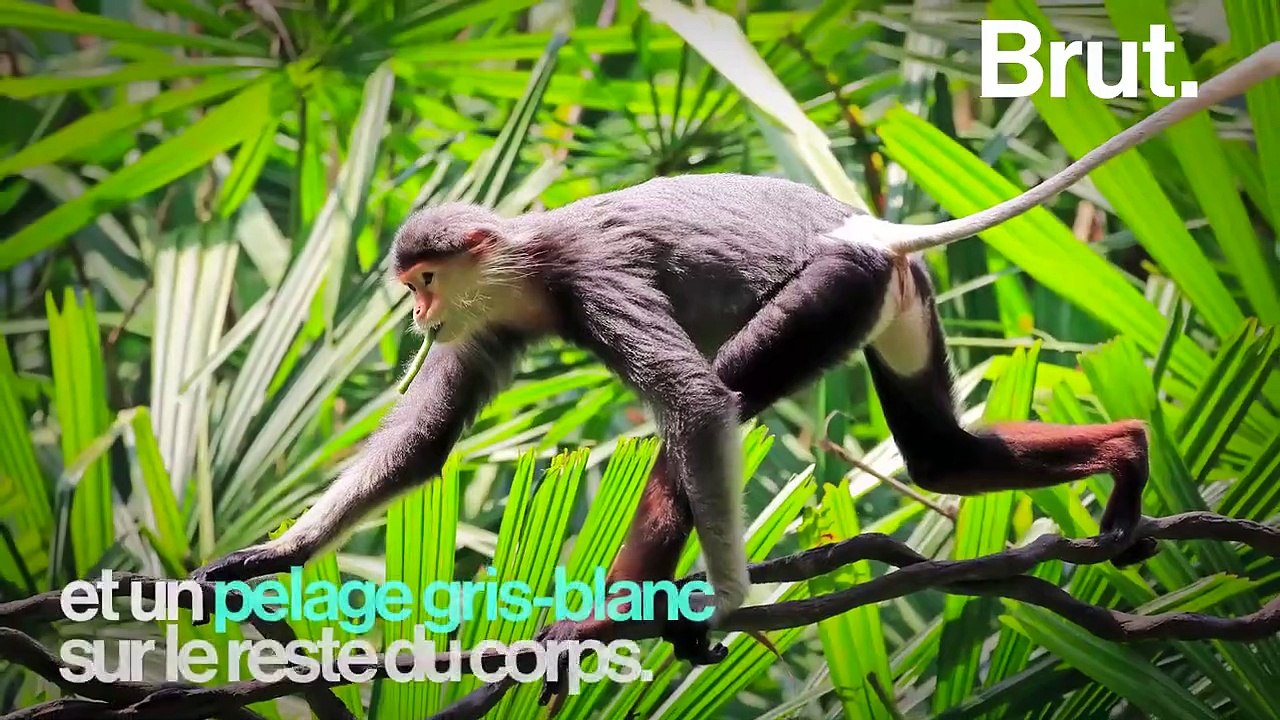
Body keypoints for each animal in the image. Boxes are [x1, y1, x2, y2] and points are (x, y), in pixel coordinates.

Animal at [193, 42, 1278, 674]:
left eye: (420, 281)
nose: (417, 317)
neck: (532, 266)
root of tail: (870, 230)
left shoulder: (593, 282)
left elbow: (694, 402)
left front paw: (722, 600)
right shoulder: (494, 322)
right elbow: (422, 445)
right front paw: (274, 553)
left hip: (829, 296)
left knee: (711, 403)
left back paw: (615, 620)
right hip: (895, 307)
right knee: (936, 454)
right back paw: (1127, 452)